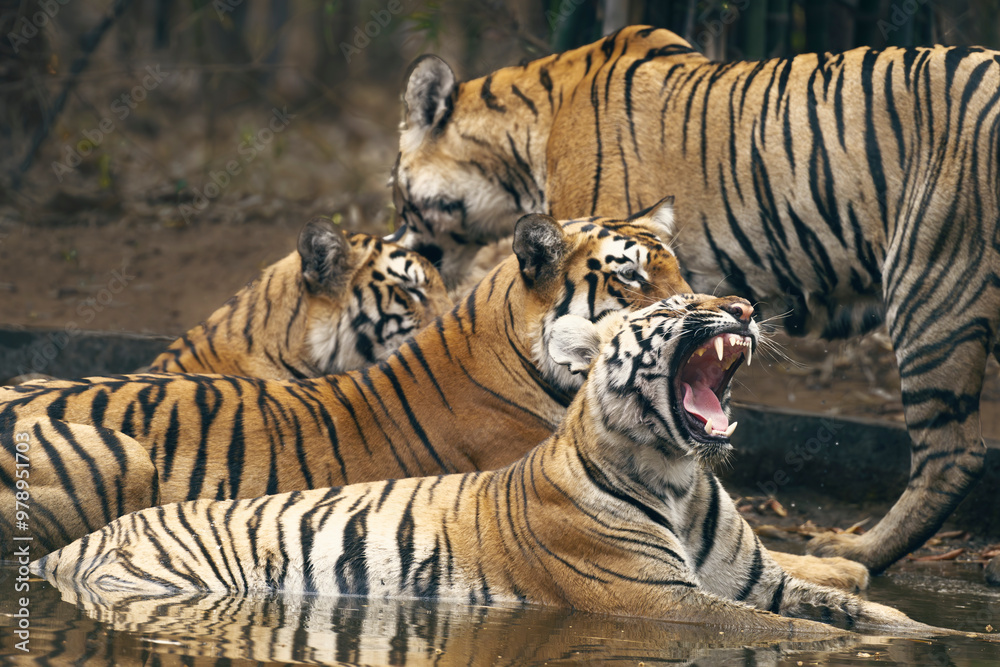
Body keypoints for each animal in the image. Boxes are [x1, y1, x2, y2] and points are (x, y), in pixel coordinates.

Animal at [32, 296, 951, 639]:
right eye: (678, 306)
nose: (745, 308)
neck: (682, 476)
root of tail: (79, 544)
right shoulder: (665, 601)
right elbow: (794, 630)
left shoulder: (760, 578)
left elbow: (849, 605)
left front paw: (934, 634)